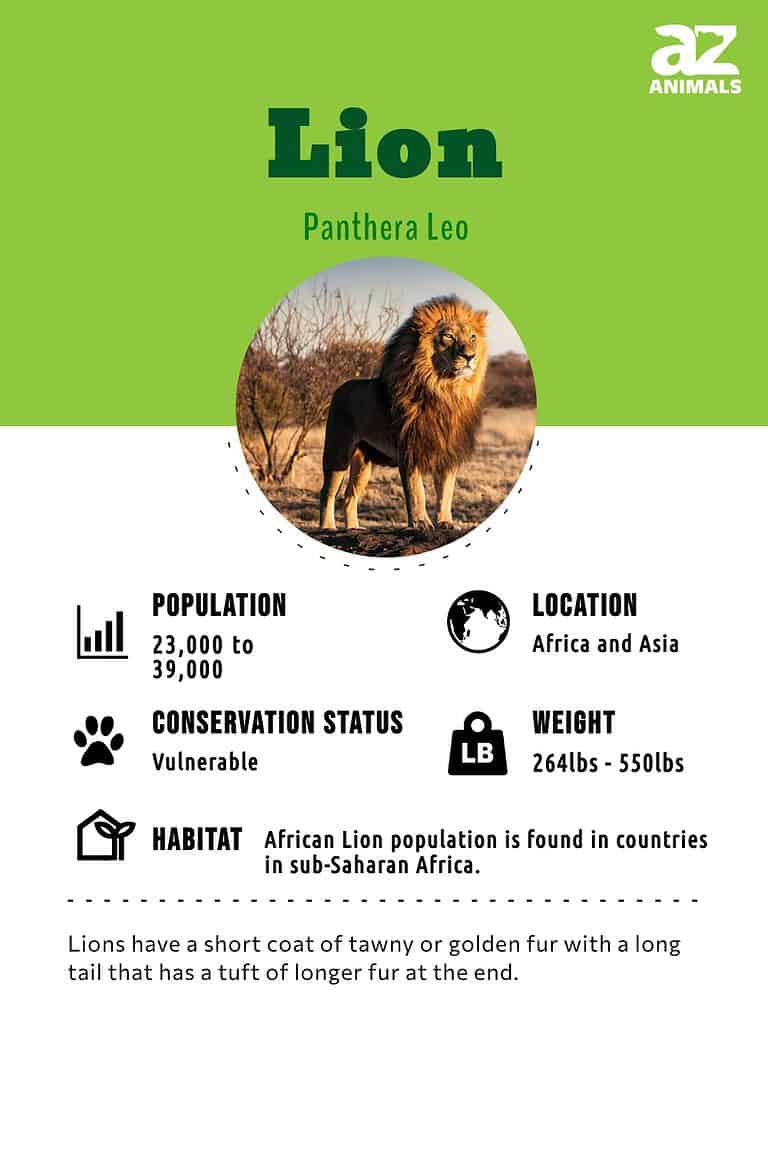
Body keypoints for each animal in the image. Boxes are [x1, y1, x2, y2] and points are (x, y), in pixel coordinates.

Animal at [319, 295, 488, 532]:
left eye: (473, 337)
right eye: (449, 336)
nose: (470, 356)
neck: (445, 391)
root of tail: (338, 389)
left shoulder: (448, 451)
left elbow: (446, 492)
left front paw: (445, 522)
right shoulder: (409, 449)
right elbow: (417, 491)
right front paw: (420, 522)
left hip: (363, 462)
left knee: (349, 496)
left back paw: (354, 528)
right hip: (338, 452)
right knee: (327, 493)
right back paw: (328, 527)